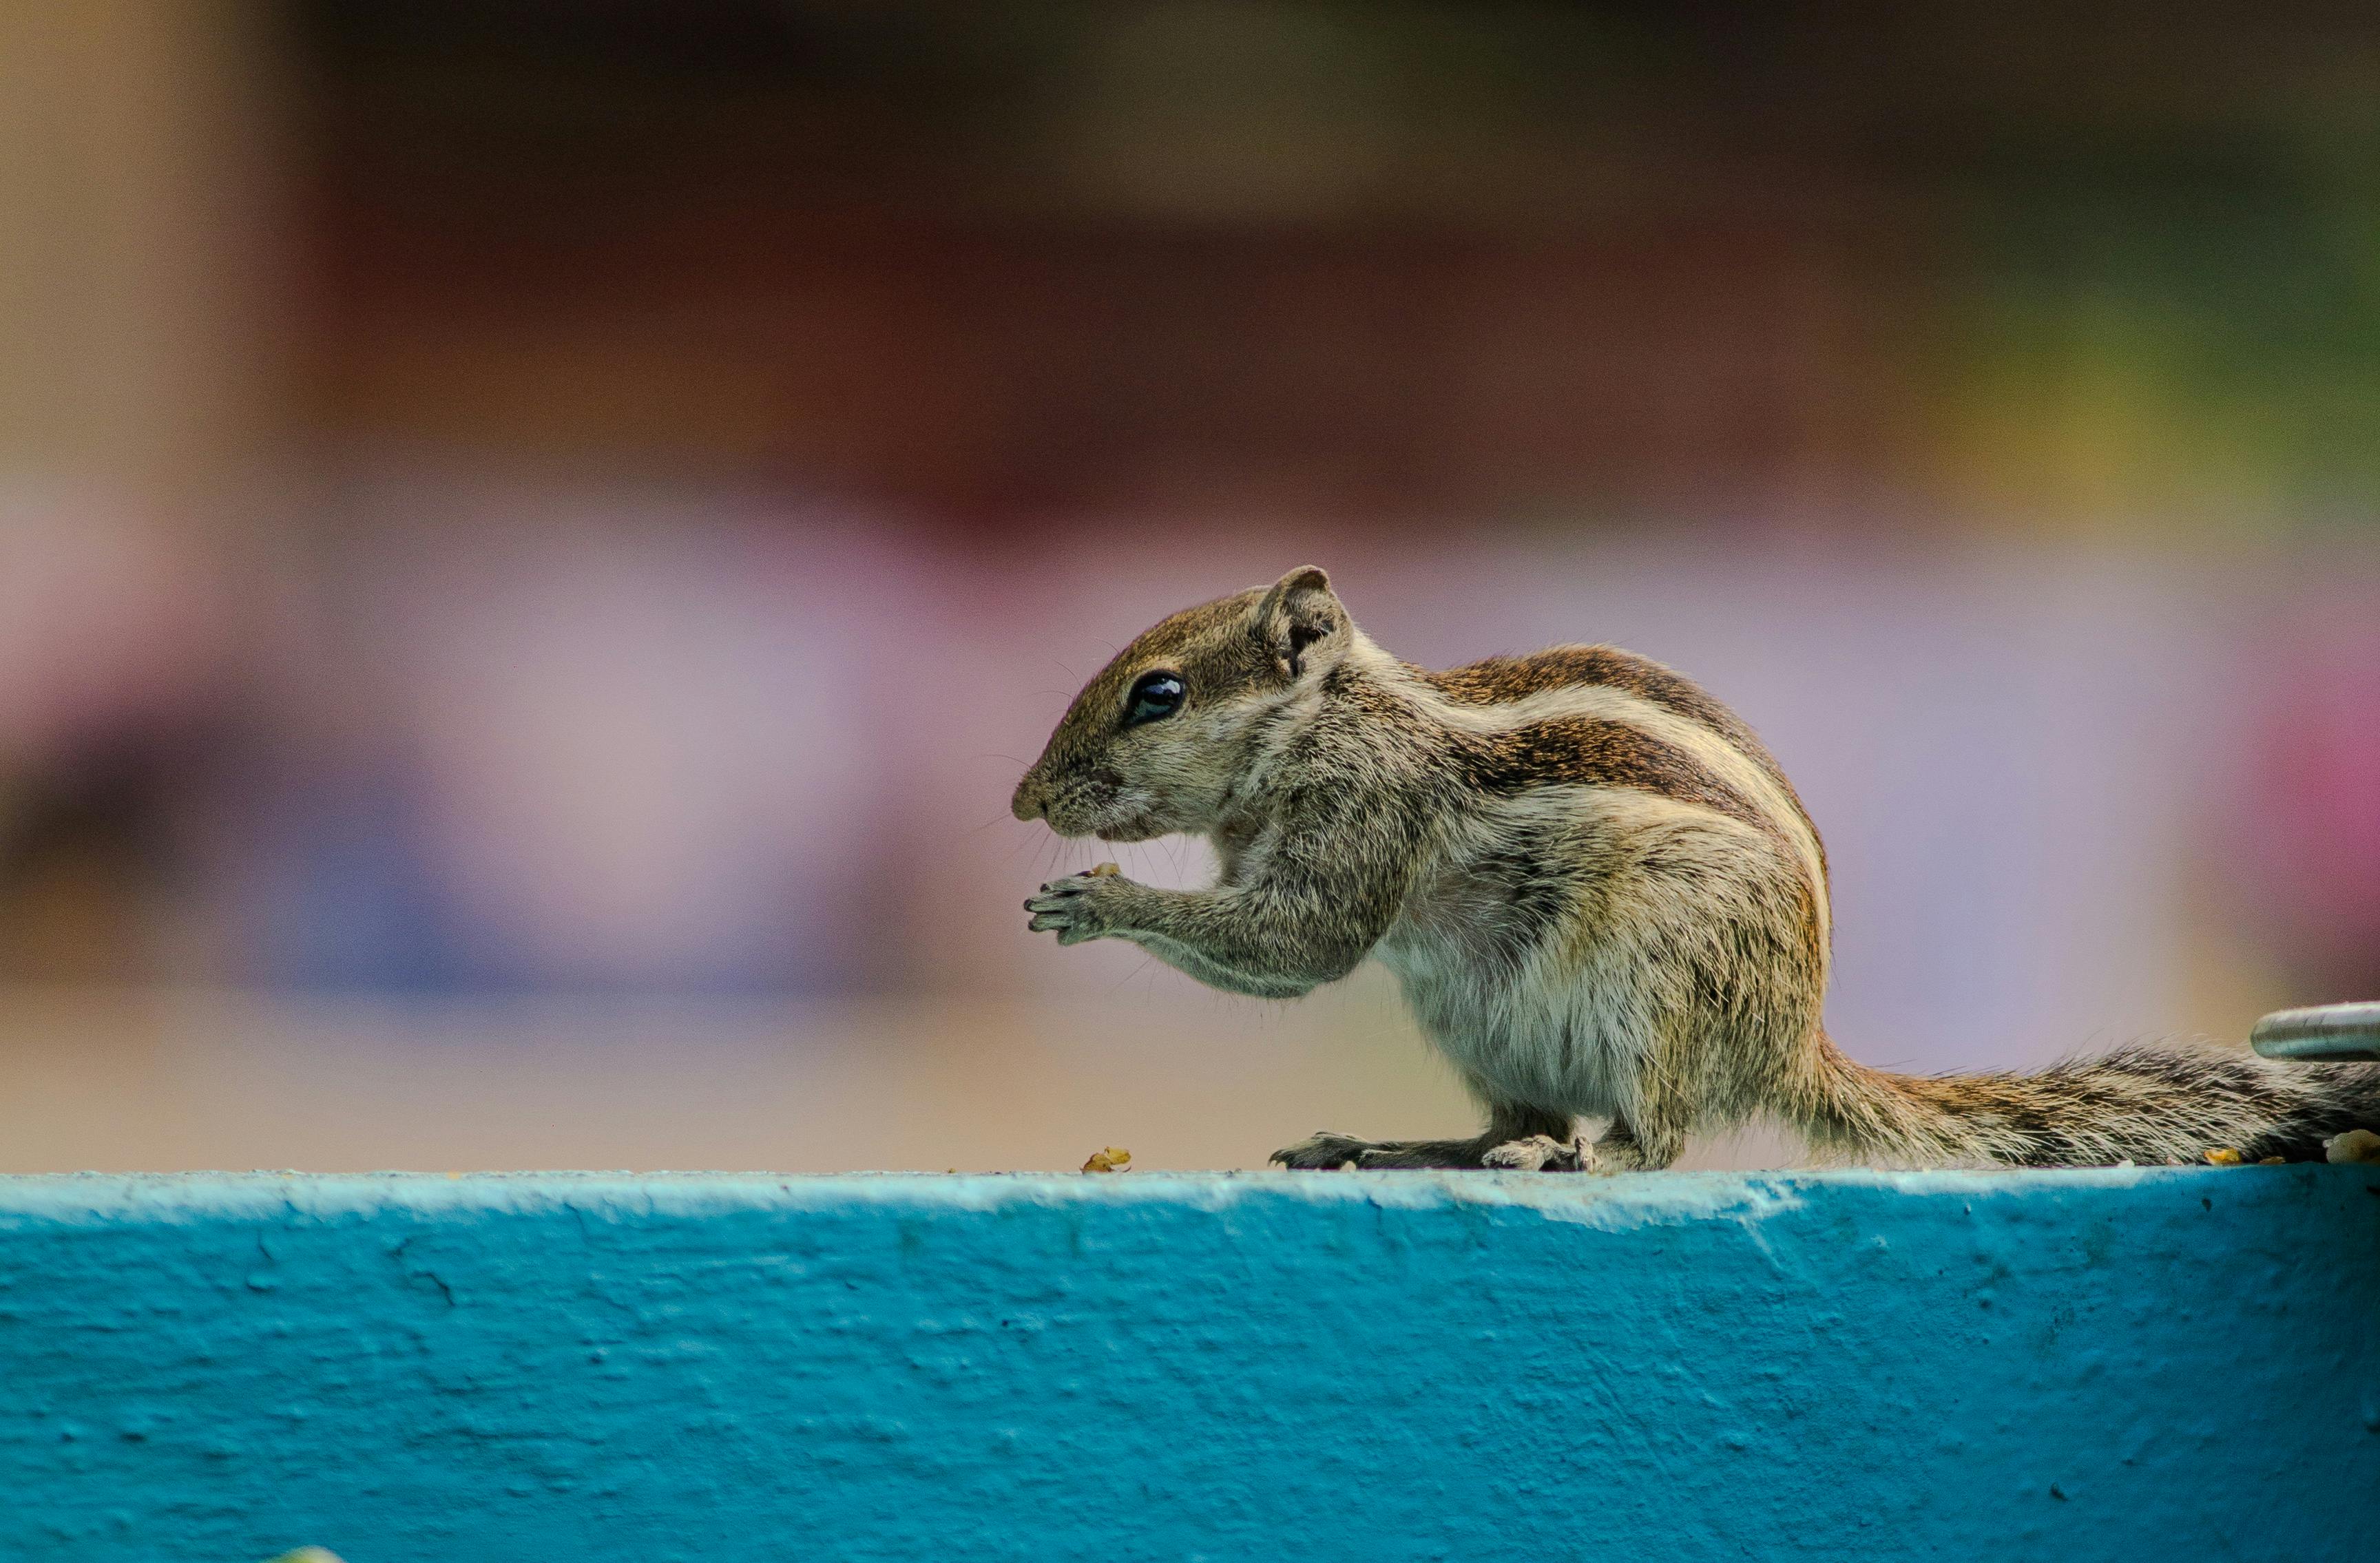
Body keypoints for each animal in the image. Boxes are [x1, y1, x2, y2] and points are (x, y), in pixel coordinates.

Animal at [1013, 565, 2380, 1170]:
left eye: (1158, 694)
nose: (1024, 799)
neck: (1328, 723)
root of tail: (1789, 1045)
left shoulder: (1363, 818)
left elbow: (1301, 945)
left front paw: (1098, 898)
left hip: (1660, 986)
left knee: (1652, 1140)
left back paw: (1579, 1158)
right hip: (1478, 1021)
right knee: (1519, 1117)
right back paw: (1409, 1149)